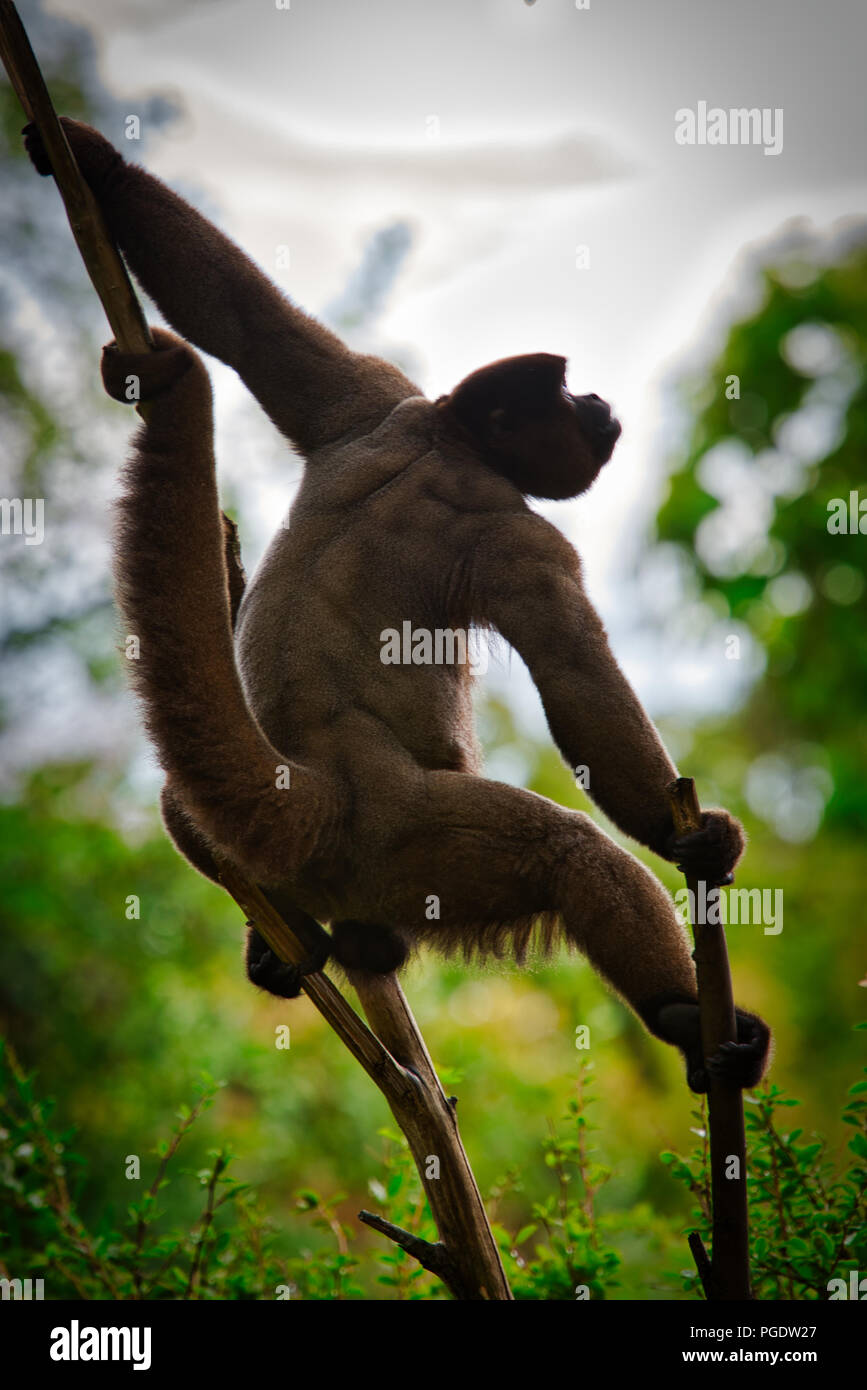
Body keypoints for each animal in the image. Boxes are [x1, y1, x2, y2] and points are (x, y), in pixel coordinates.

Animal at [25, 119, 770, 1093]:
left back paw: (296, 949)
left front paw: (91, 159)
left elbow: (245, 320)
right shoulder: (520, 536)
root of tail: (315, 786)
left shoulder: (377, 394)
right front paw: (692, 837)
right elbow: (575, 682)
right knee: (569, 852)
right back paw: (687, 1020)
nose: (598, 399)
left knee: (181, 810)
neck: (449, 436)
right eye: (566, 396)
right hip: (404, 839)